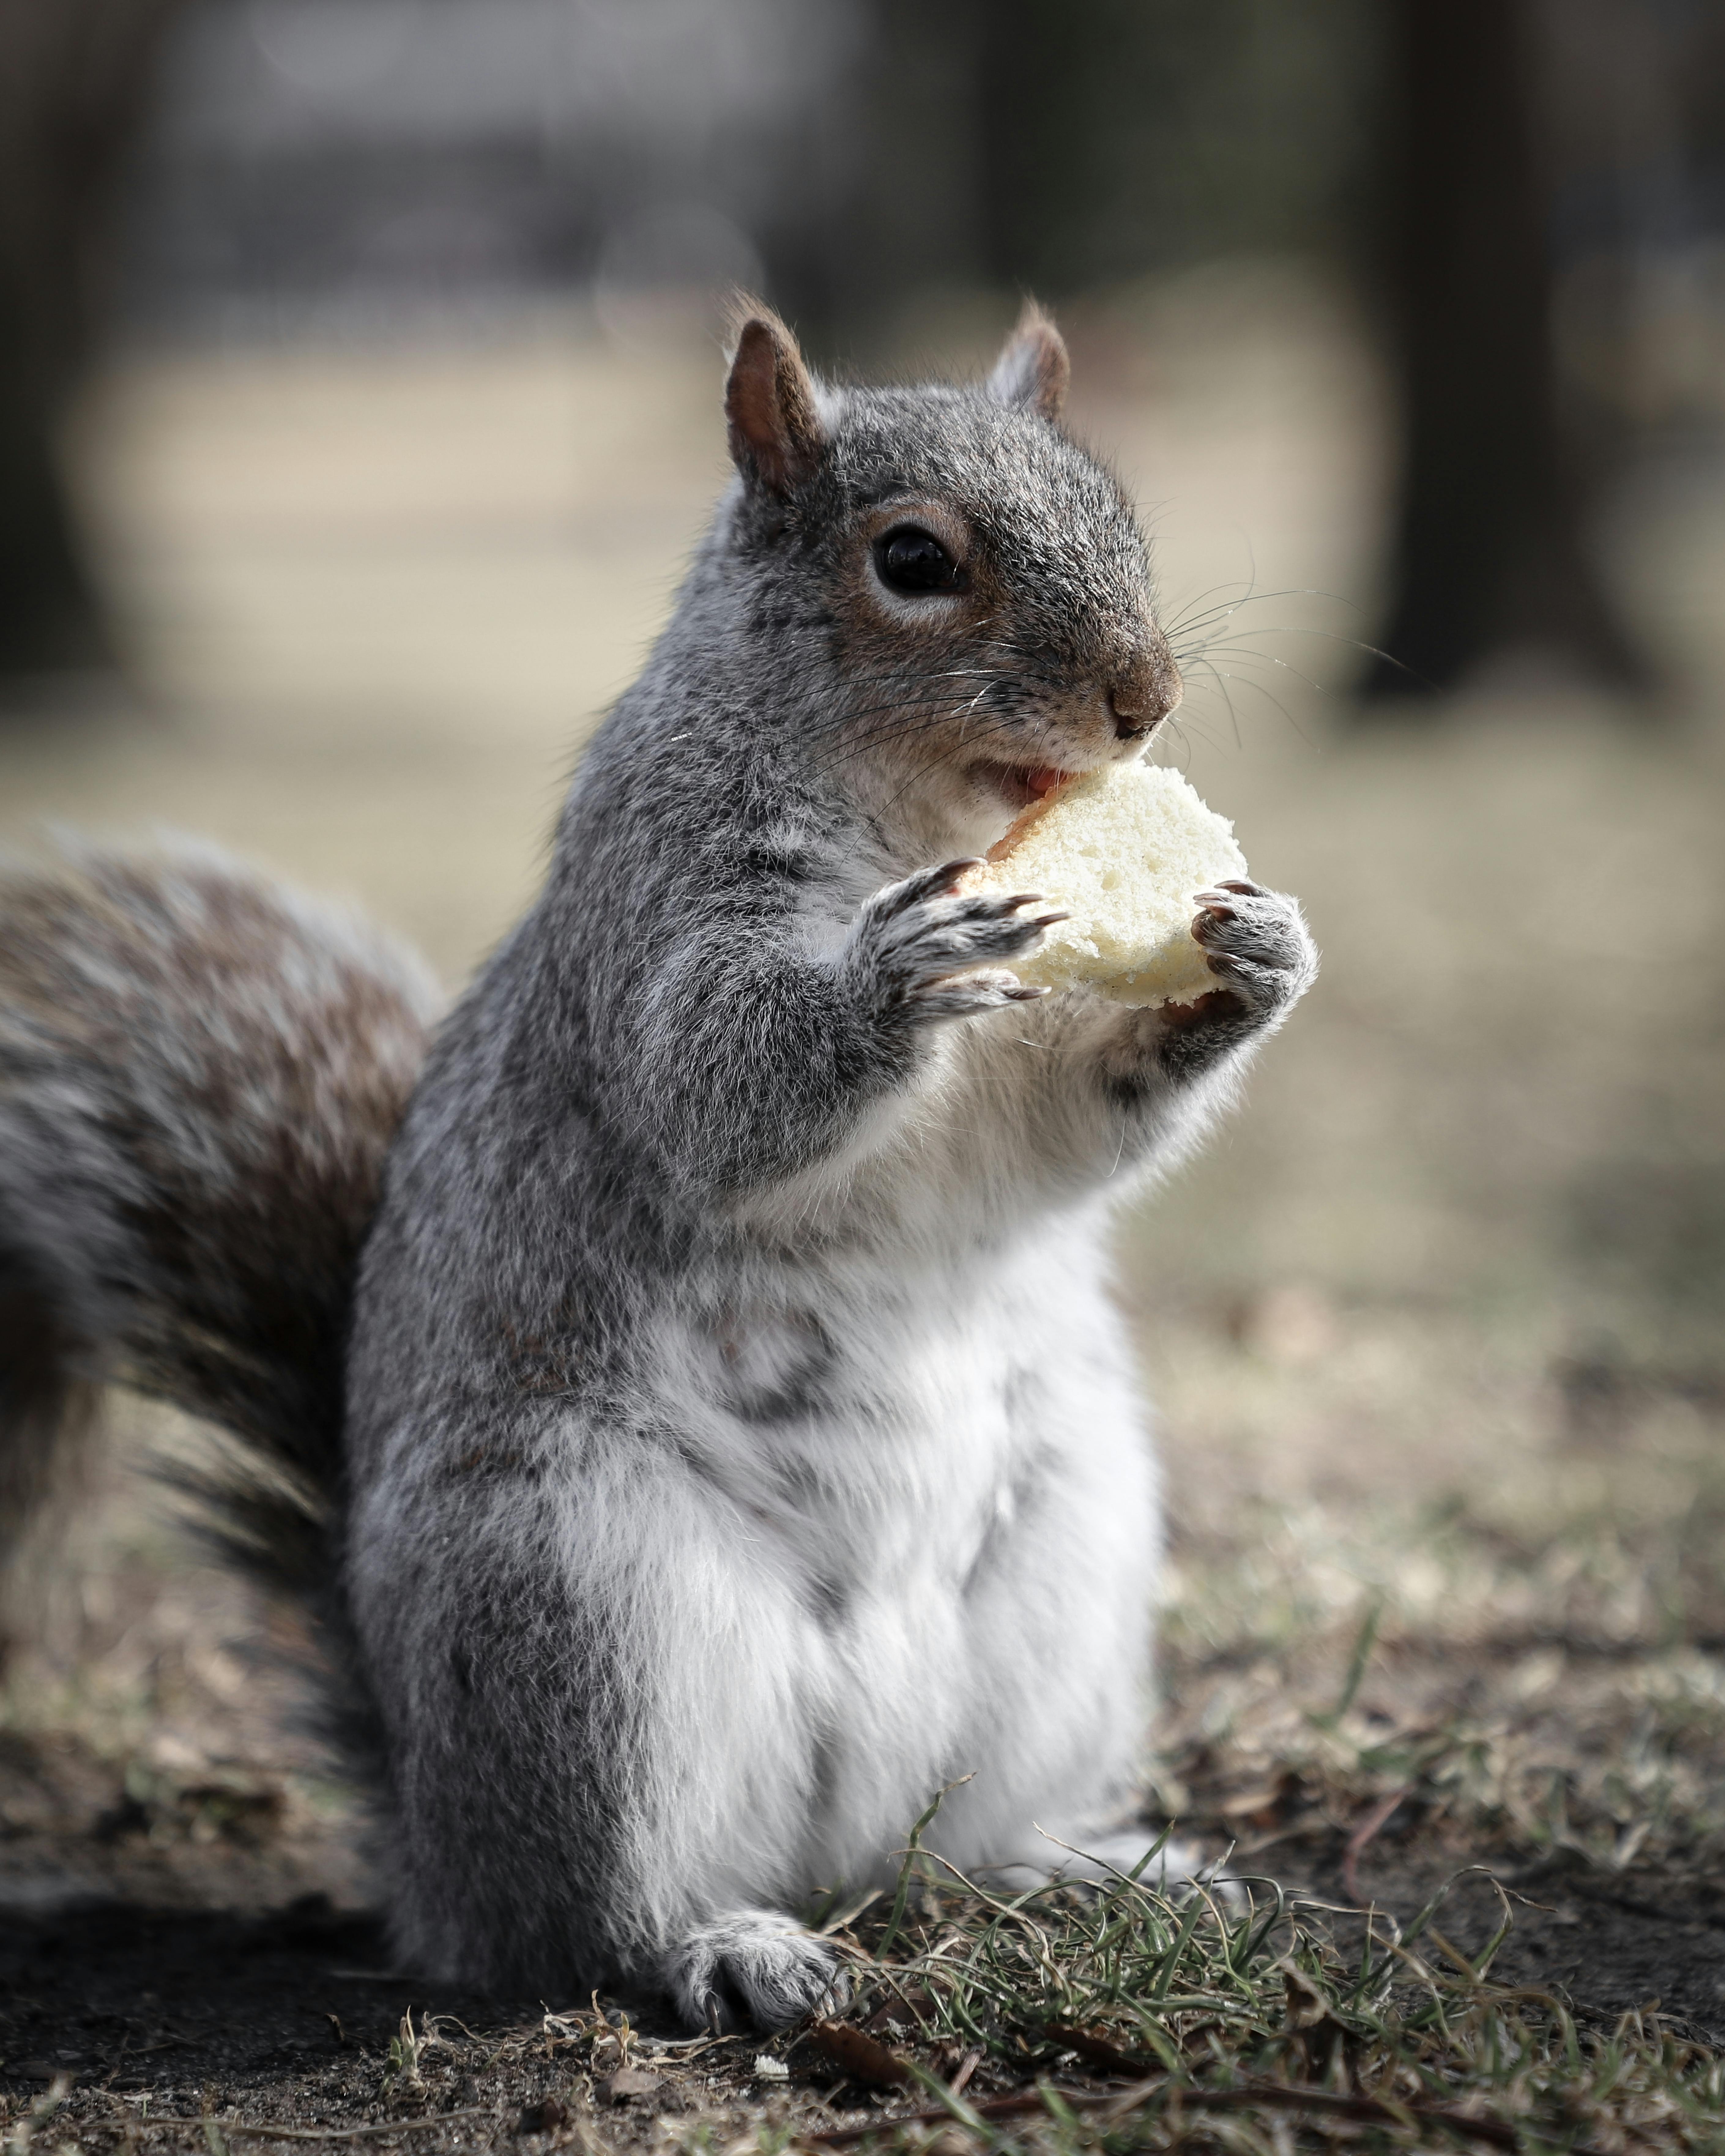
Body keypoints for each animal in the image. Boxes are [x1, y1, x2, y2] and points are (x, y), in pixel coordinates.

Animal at [0, 302, 1316, 2031]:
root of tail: (431, 1845)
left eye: (1119, 513)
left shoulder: (1026, 1089)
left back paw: (1082, 1865)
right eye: (911, 559)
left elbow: (1069, 1130)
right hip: (587, 1614)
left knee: (954, 1845)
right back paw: (721, 1945)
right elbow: (710, 1086)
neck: (921, 809)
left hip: (1066, 1568)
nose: (1142, 695)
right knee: (591, 1919)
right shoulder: (654, 902)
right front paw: (892, 972)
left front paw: (1251, 959)